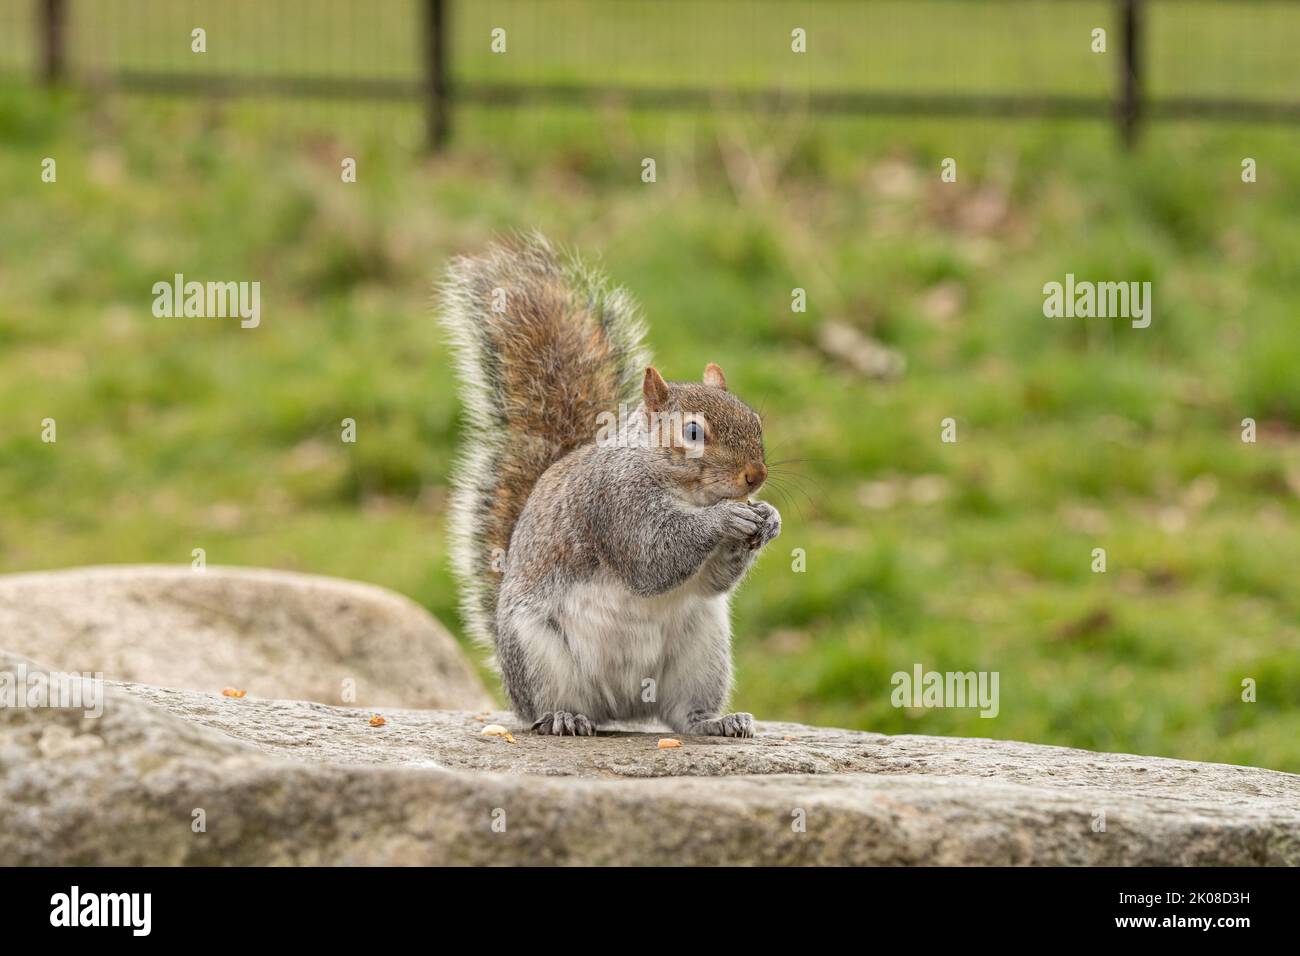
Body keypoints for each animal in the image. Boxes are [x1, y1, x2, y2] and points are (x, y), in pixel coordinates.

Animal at [439, 233, 781, 737]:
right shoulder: (612, 503)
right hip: (536, 654)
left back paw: (716, 722)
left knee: (682, 714)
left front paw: (769, 518)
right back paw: (563, 718)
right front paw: (725, 517)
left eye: (755, 420)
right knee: (550, 705)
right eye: (693, 432)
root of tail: (623, 709)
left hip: (703, 650)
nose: (755, 476)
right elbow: (651, 557)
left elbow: (713, 580)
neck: (687, 492)